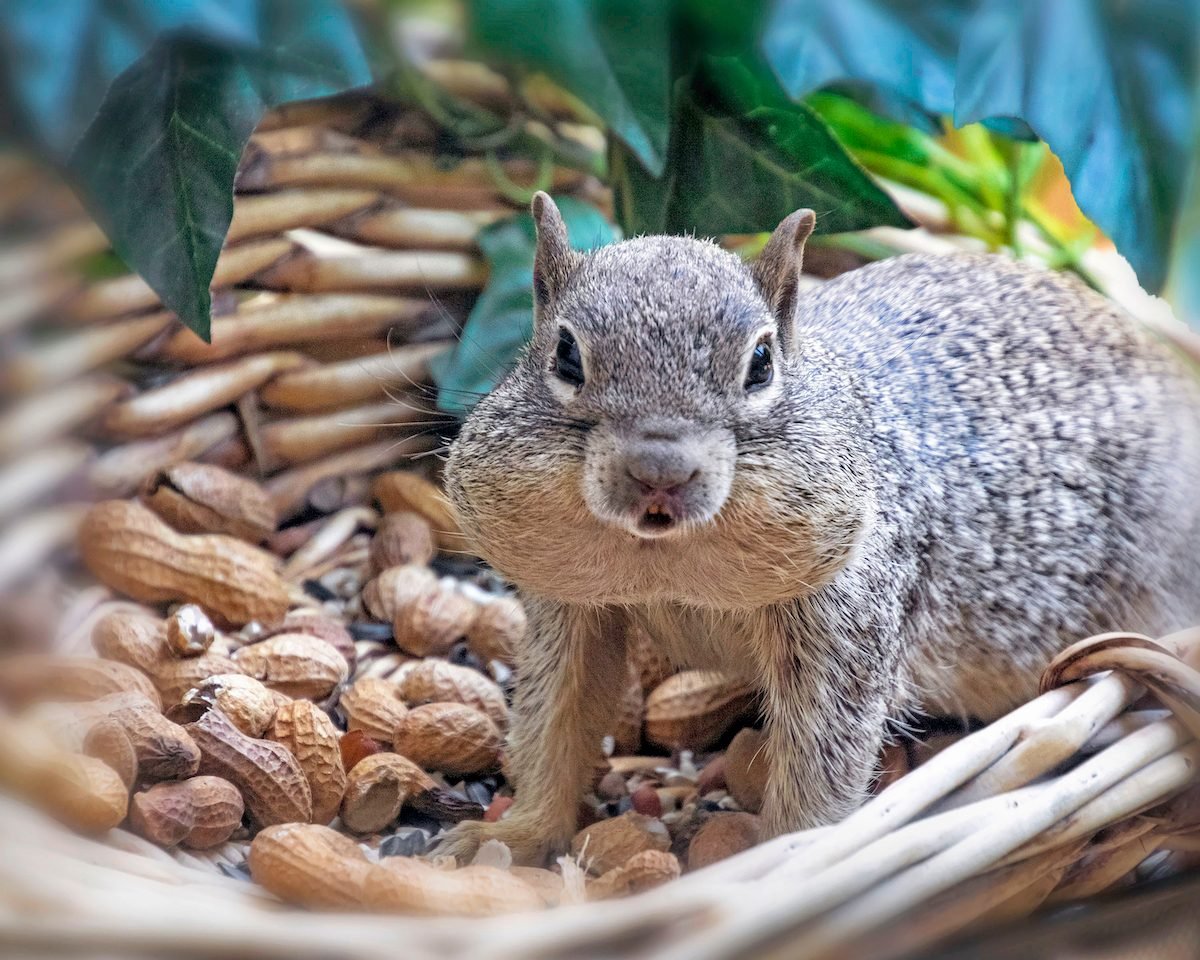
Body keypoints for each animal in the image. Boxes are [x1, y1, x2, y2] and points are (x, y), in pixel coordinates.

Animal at [439, 192, 1200, 864]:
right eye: (564, 354)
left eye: (762, 362)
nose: (660, 470)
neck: (668, 561)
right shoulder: (570, 608)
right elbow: (556, 720)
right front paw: (515, 836)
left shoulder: (850, 620)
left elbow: (822, 754)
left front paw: (784, 855)